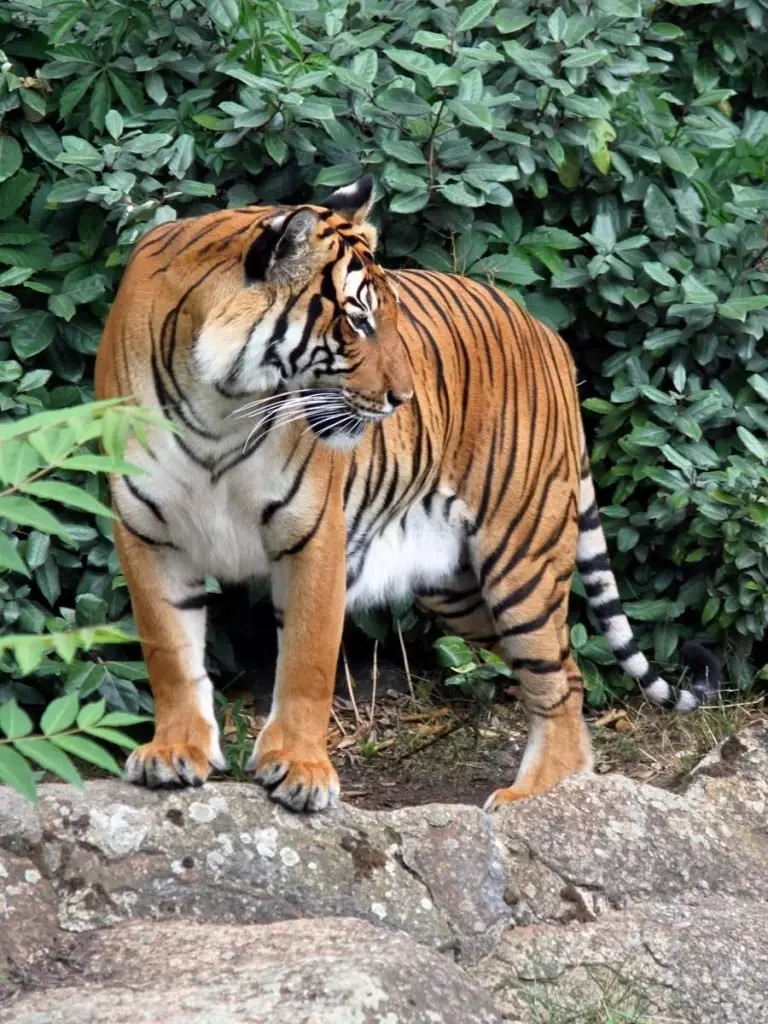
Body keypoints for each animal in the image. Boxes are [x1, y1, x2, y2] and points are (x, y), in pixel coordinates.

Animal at [97, 178, 720, 815]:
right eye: (357, 320)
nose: (403, 398)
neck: (219, 408)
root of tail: (547, 335)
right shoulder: (146, 532)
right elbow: (169, 653)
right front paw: (174, 752)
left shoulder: (313, 535)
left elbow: (306, 661)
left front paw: (300, 770)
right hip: (456, 589)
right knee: (563, 671)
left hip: (521, 559)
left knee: (558, 677)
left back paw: (534, 798)